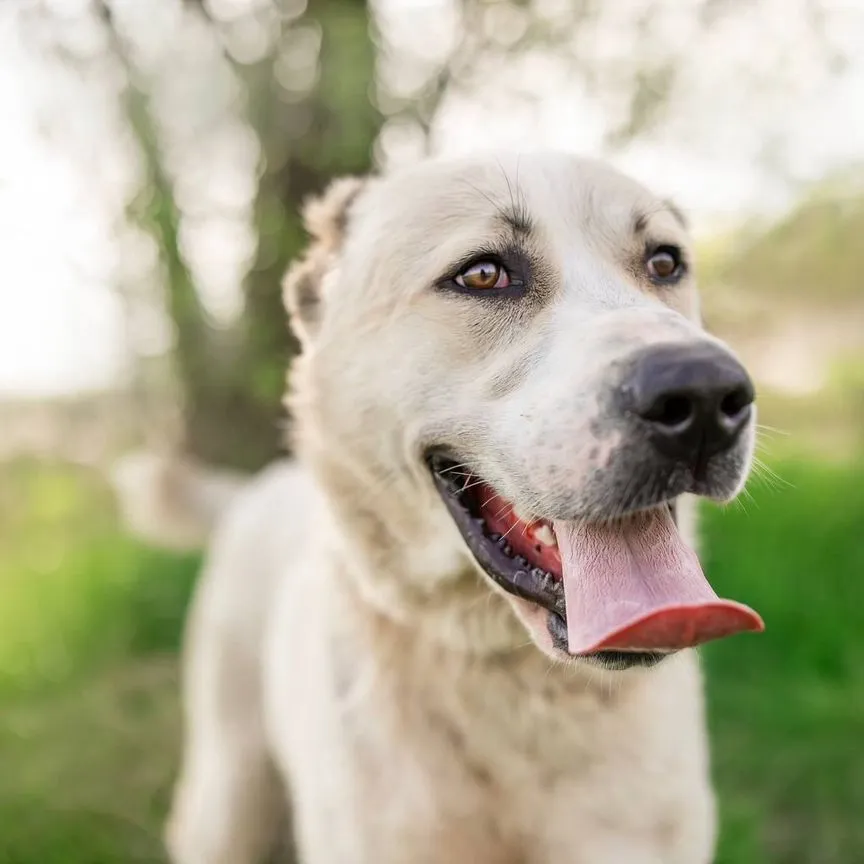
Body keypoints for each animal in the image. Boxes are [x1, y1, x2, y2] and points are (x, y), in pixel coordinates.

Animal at [148, 152, 764, 860]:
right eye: (483, 275)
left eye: (665, 263)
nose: (705, 397)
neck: (516, 681)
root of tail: (258, 486)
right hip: (229, 793)